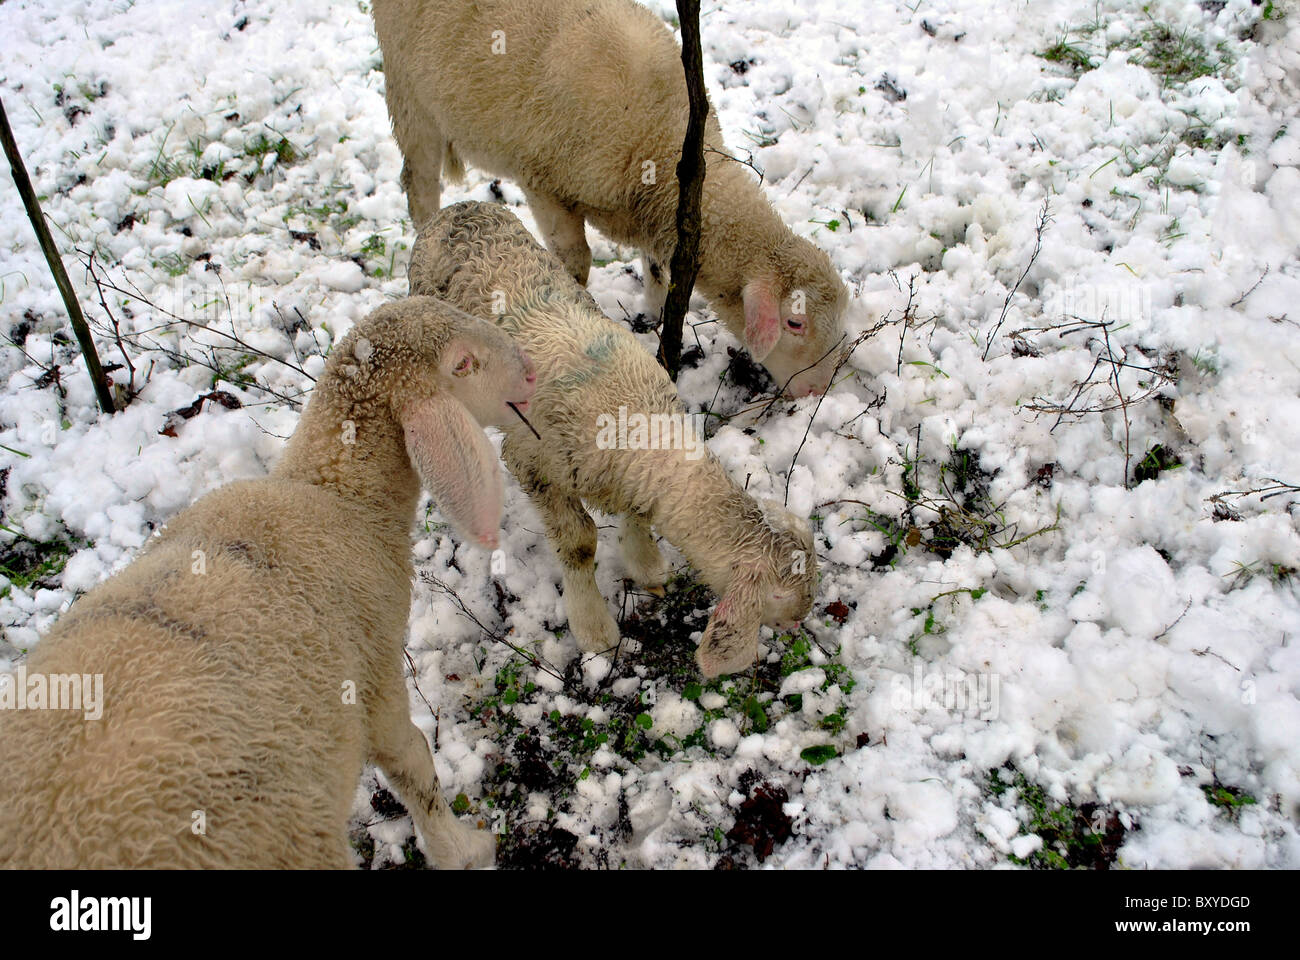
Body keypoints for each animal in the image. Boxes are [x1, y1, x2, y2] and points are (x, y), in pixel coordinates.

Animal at [0, 296, 536, 869]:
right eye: (464, 364)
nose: (530, 371)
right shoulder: (374, 672)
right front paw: (463, 847)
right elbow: (413, 765)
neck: (337, 495)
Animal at [371, 0, 851, 397]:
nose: (816, 391)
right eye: (794, 322)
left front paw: (655, 317)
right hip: (409, 93)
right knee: (419, 184)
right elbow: (575, 263)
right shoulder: (544, 184)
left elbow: (659, 268)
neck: (664, 137)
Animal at [408, 201, 817, 679]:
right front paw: (595, 631)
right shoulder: (535, 462)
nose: (800, 620)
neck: (635, 421)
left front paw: (647, 566)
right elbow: (579, 544)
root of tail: (454, 209)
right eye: (781, 596)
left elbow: (637, 516)